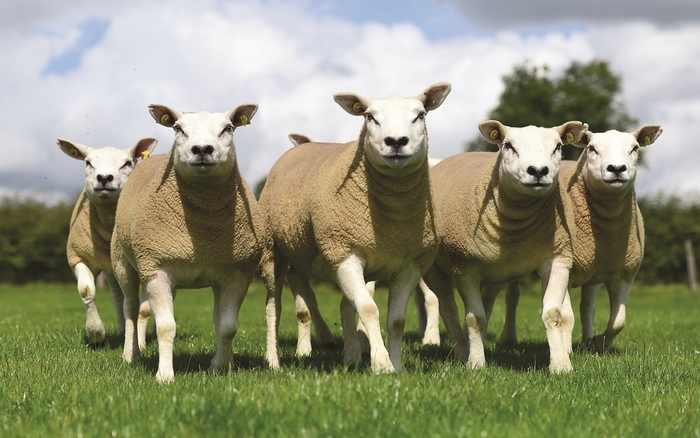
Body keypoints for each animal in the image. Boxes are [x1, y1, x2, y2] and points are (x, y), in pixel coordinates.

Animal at [59, 137, 158, 345]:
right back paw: (122, 328)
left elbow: (144, 307)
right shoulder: (80, 257)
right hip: (112, 269)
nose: (104, 177)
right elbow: (86, 290)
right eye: (88, 163)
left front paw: (140, 343)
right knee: (119, 297)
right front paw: (96, 333)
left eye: (127, 163)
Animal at [111, 104, 265, 383]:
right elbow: (166, 326)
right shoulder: (157, 268)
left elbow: (227, 326)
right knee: (129, 308)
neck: (203, 233)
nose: (202, 149)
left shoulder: (237, 273)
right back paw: (131, 355)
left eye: (228, 128)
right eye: (178, 128)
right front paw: (164, 376)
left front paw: (219, 368)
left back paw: (228, 362)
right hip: (123, 262)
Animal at [259, 82, 451, 373]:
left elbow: (395, 320)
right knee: (274, 306)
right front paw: (381, 365)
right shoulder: (344, 254)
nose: (396, 142)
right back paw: (274, 361)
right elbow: (368, 309)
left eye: (420, 115)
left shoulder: (411, 263)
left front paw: (396, 366)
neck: (393, 219)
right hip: (275, 252)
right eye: (370, 117)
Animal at [424, 120, 588, 374]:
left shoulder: (558, 258)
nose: (538, 171)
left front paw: (561, 365)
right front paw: (476, 363)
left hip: (495, 274)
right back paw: (462, 351)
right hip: (436, 270)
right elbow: (474, 319)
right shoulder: (464, 266)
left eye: (558, 146)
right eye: (508, 145)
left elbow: (553, 314)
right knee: (448, 307)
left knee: (487, 303)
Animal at [496, 126, 663, 353]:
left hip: (594, 272)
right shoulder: (566, 267)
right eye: (592, 148)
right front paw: (565, 350)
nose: (616, 168)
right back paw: (508, 338)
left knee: (587, 307)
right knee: (512, 296)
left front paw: (597, 343)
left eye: (635, 148)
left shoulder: (625, 274)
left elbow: (618, 321)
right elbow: (565, 316)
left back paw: (586, 341)